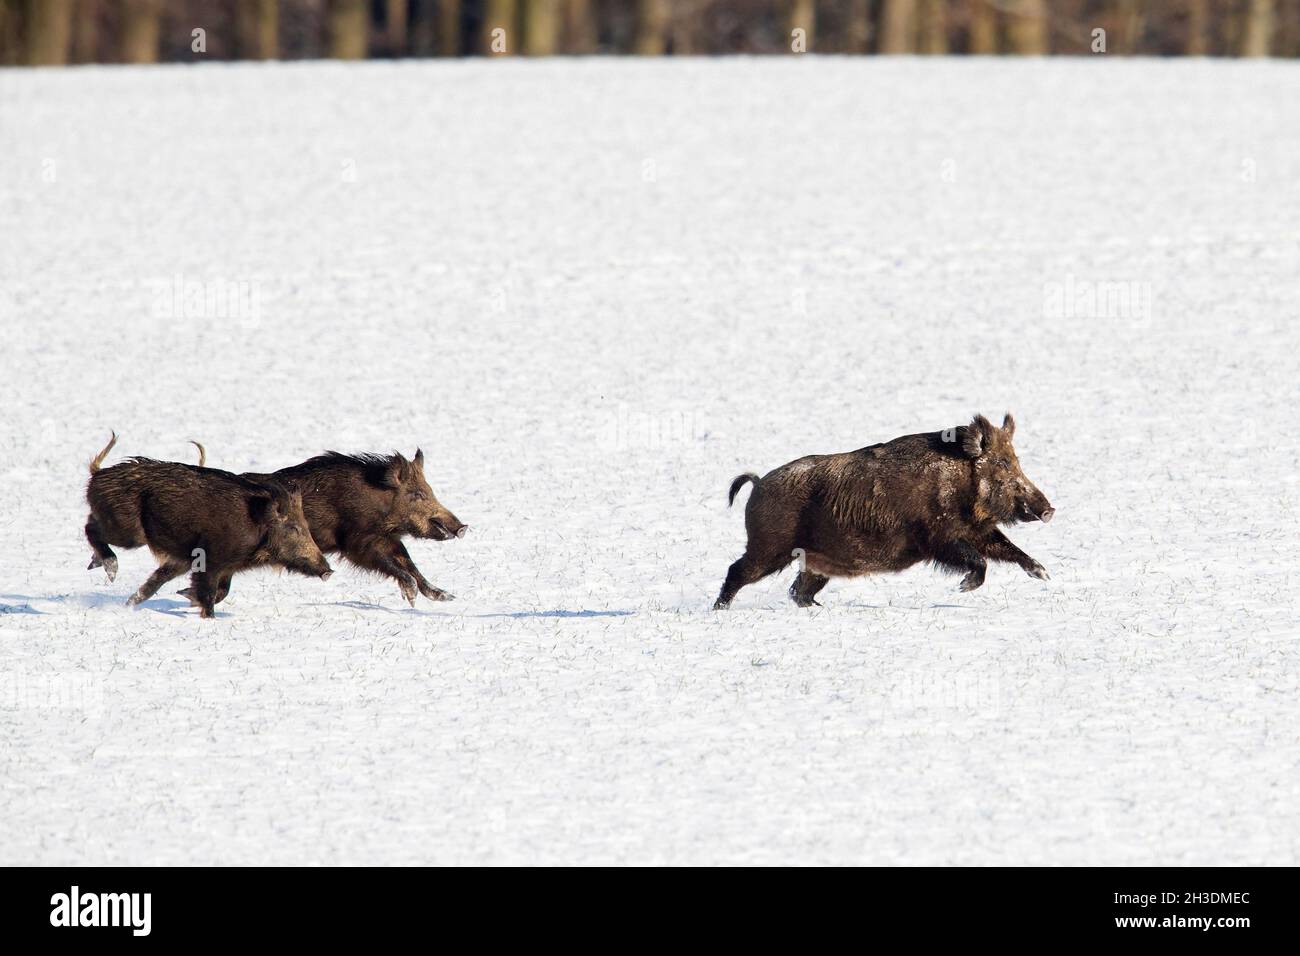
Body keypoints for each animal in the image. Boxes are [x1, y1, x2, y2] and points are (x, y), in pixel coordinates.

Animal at [84, 433, 332, 618]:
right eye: (294, 528)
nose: (328, 570)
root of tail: (98, 474)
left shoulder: (188, 561)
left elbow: (160, 584)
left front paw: (135, 604)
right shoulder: (210, 560)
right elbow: (209, 593)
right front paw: (207, 618)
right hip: (128, 532)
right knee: (92, 529)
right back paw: (110, 569)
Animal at [235, 449, 467, 606]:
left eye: (430, 490)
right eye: (417, 494)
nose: (462, 527)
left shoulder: (386, 539)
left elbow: (408, 562)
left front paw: (446, 596)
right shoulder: (355, 545)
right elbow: (395, 566)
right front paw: (412, 597)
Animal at [713, 413, 1054, 609]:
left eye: (1015, 460)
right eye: (1003, 463)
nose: (1048, 509)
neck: (956, 482)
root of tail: (758, 483)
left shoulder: (977, 532)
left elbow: (1007, 548)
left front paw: (1044, 574)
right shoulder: (938, 539)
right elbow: (979, 561)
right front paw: (962, 588)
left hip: (814, 563)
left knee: (799, 592)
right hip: (769, 548)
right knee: (737, 572)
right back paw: (720, 610)